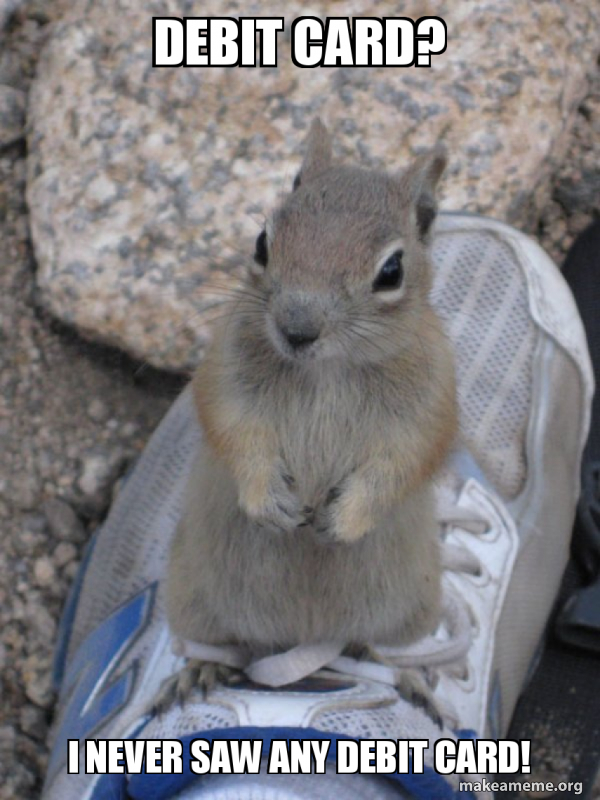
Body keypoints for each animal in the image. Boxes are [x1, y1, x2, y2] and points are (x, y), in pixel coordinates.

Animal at [163, 118, 457, 709]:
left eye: (392, 271)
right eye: (262, 241)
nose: (296, 328)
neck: (327, 370)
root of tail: (307, 634)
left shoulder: (428, 407)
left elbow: (400, 464)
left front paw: (345, 519)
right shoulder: (226, 377)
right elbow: (237, 435)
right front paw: (268, 500)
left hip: (412, 609)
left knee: (370, 645)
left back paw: (407, 679)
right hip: (191, 597)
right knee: (228, 646)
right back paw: (199, 671)